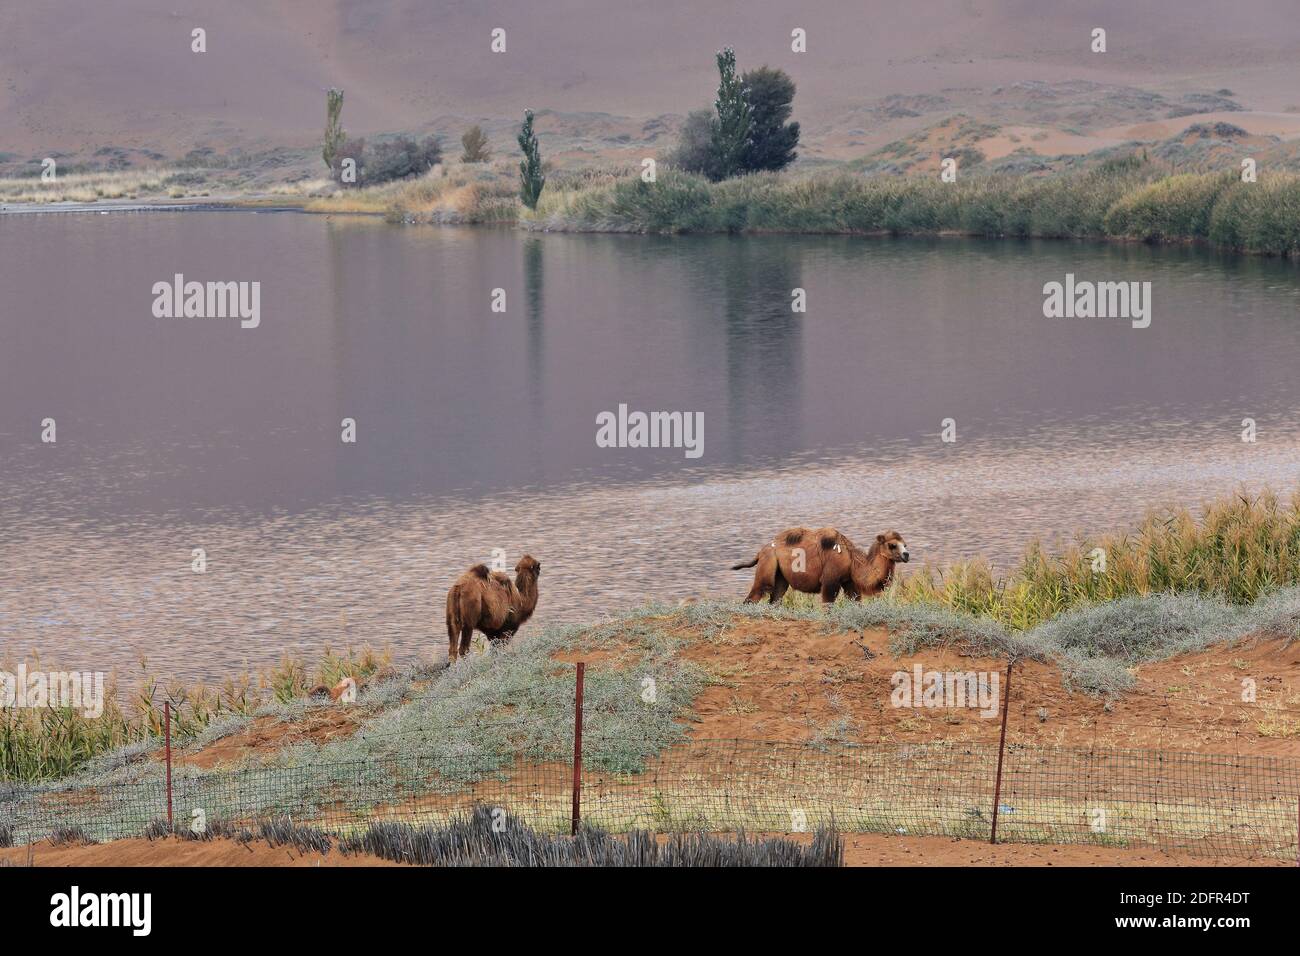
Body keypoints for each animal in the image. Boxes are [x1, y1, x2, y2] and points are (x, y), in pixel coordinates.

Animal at [732, 527, 909, 604]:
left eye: (905, 544)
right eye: (892, 545)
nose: (906, 555)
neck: (851, 559)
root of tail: (761, 551)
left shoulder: (848, 580)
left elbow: (856, 600)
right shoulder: (830, 579)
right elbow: (827, 603)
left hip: (780, 574)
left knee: (776, 597)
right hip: (768, 562)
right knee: (758, 591)